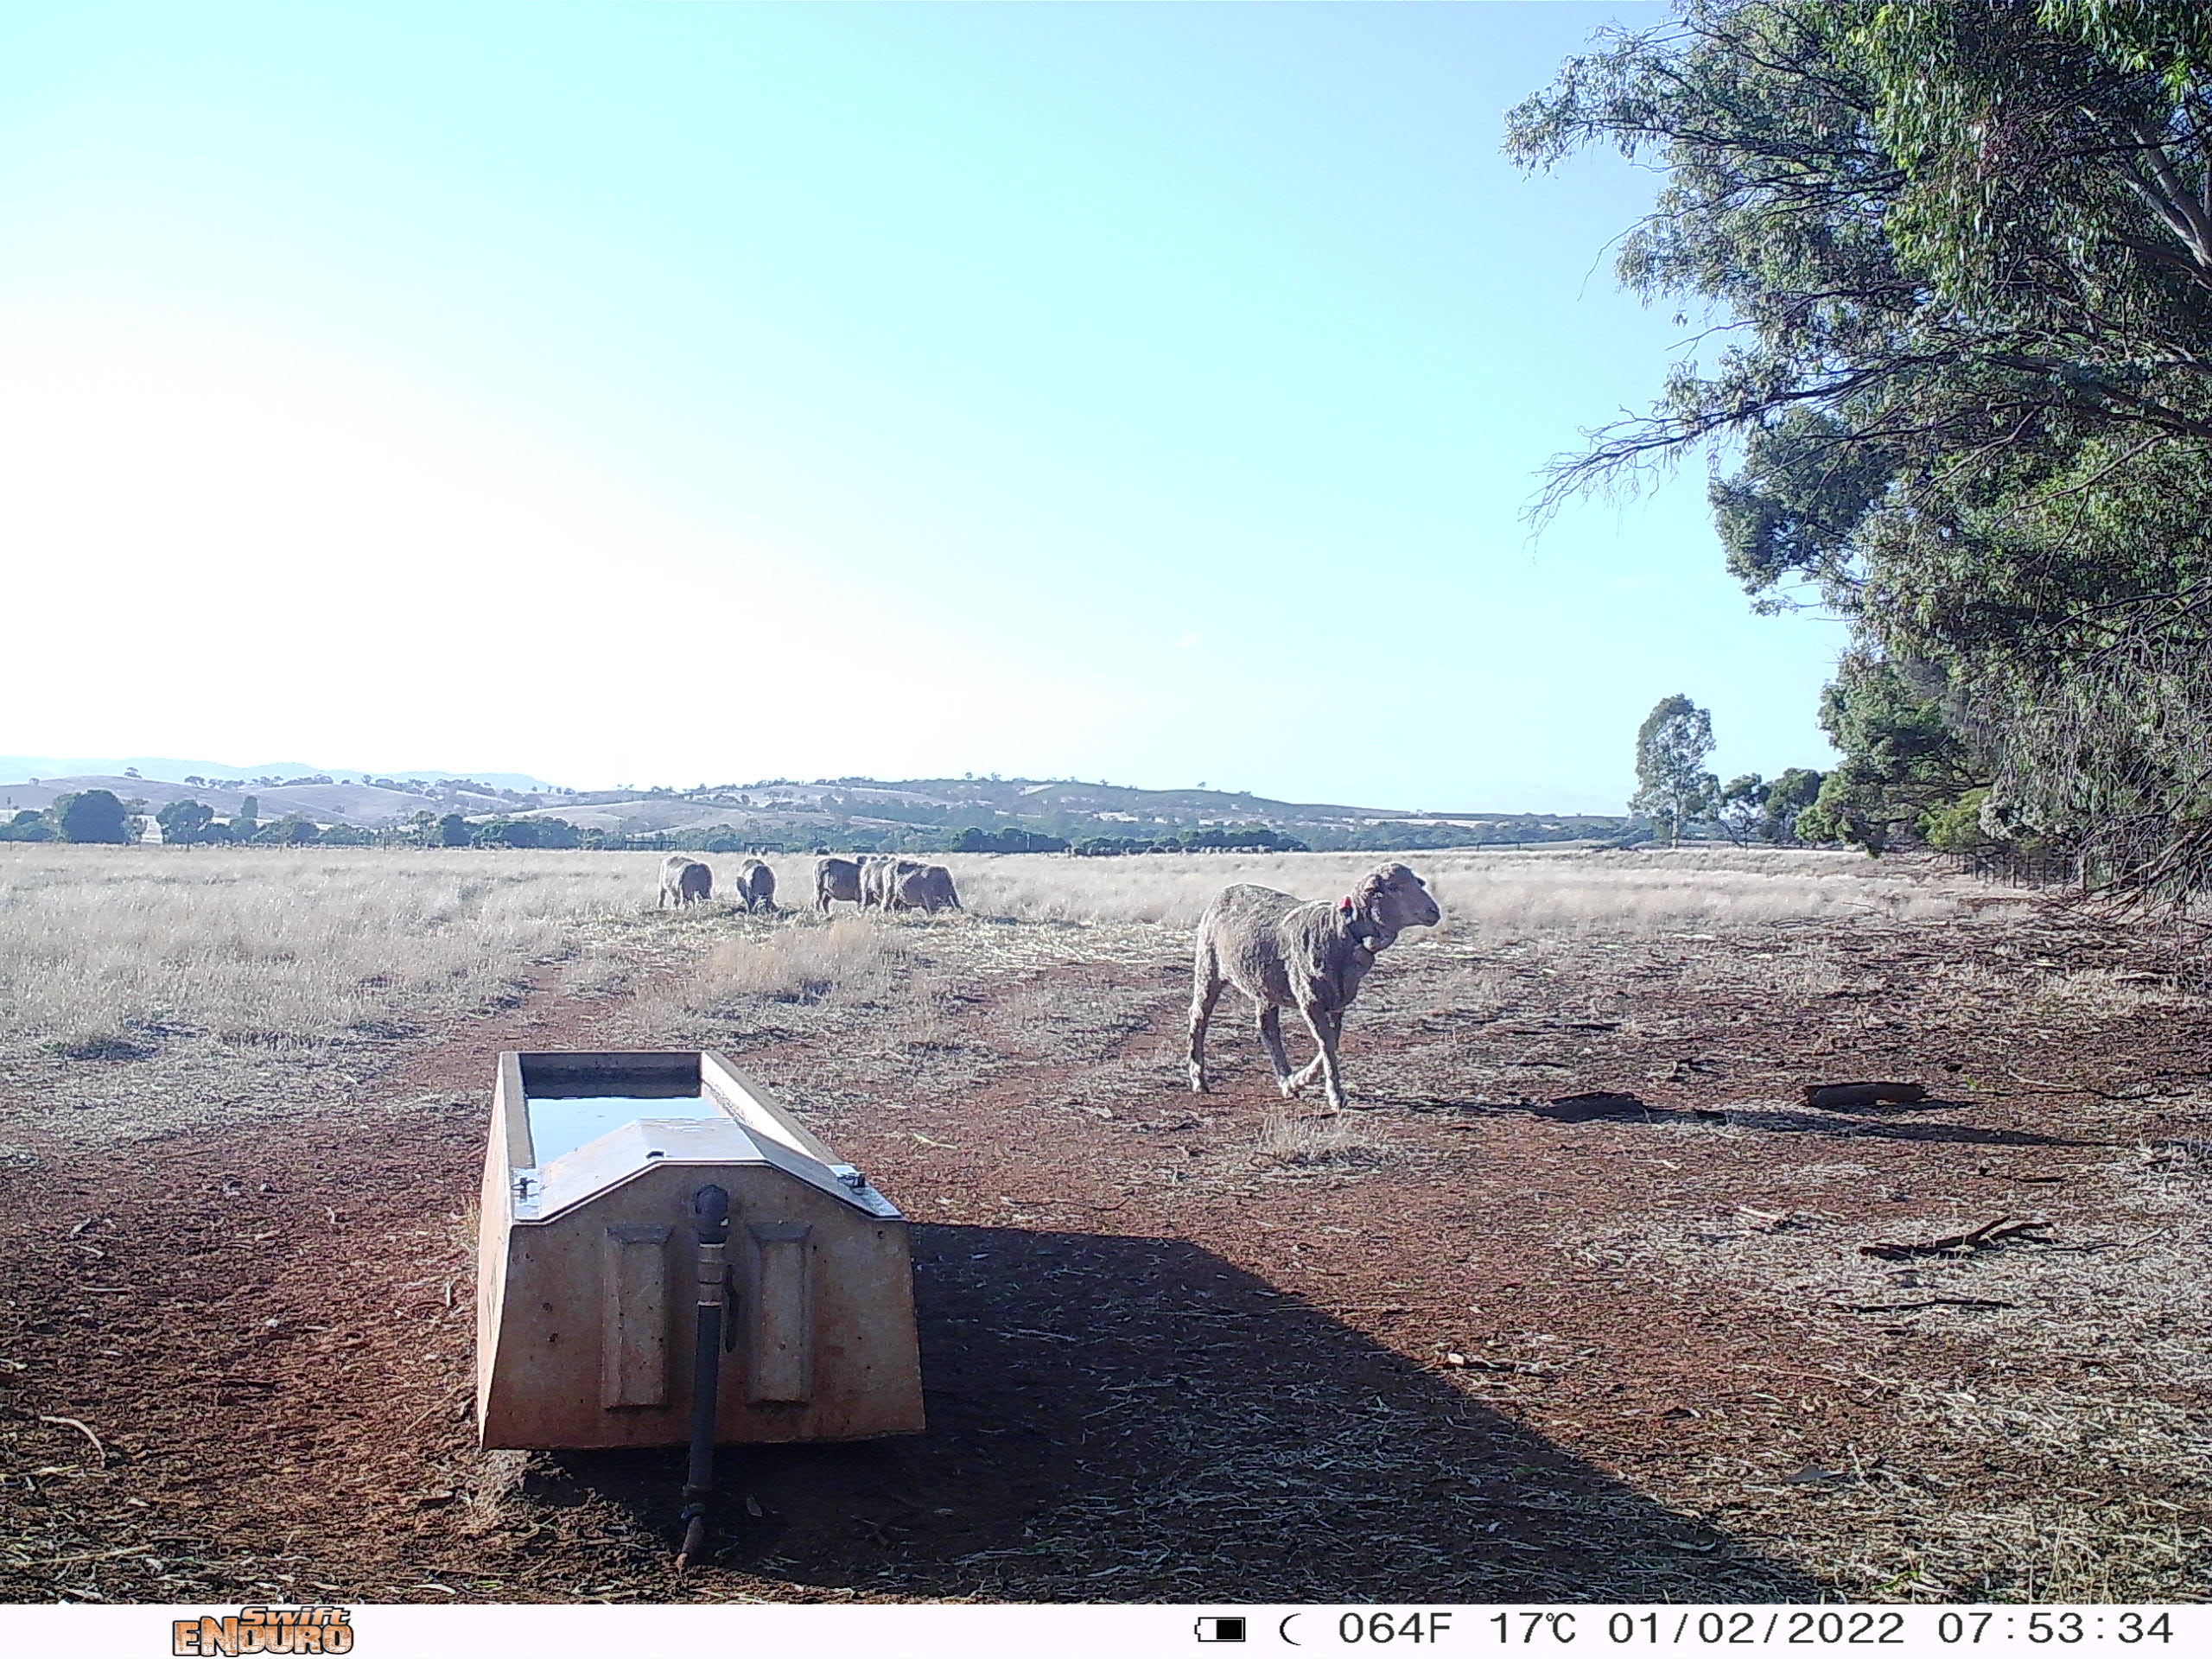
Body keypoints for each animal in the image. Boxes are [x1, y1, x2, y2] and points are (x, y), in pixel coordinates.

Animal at [1187, 861, 1439, 1114]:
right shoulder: (1310, 998)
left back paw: (1287, 1082)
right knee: (1199, 1017)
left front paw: (1303, 1079)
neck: (1341, 931)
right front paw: (1335, 1095)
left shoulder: (1338, 1001)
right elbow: (1326, 1042)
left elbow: (1333, 1040)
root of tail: (1224, 892)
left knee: (1267, 1028)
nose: (1434, 911)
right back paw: (1198, 1078)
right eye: (1394, 887)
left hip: (1264, 985)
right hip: (1208, 966)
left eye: (1417, 883)